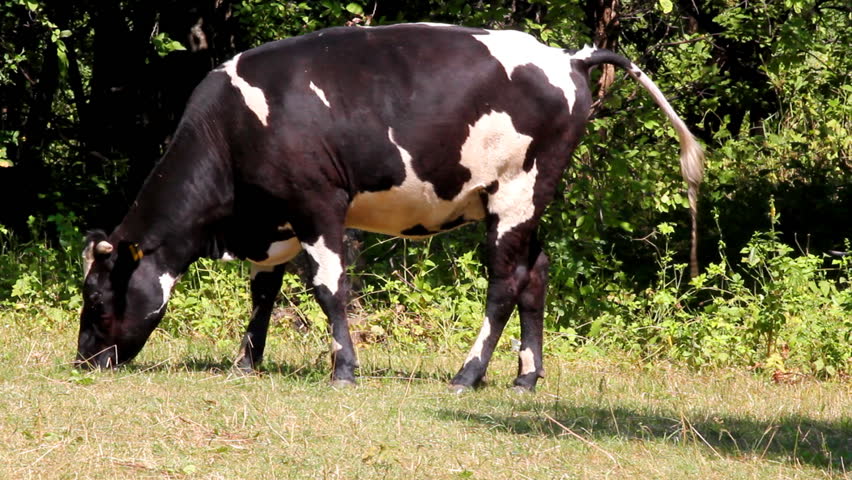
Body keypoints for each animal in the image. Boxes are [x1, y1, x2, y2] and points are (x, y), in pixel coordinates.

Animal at [77, 23, 703, 392]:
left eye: (96, 297)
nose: (83, 360)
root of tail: (568, 57)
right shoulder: (275, 219)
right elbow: (263, 293)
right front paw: (245, 363)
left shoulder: (318, 203)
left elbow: (329, 288)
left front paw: (344, 371)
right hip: (528, 199)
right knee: (537, 274)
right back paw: (526, 379)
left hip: (516, 191)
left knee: (505, 282)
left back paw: (467, 375)